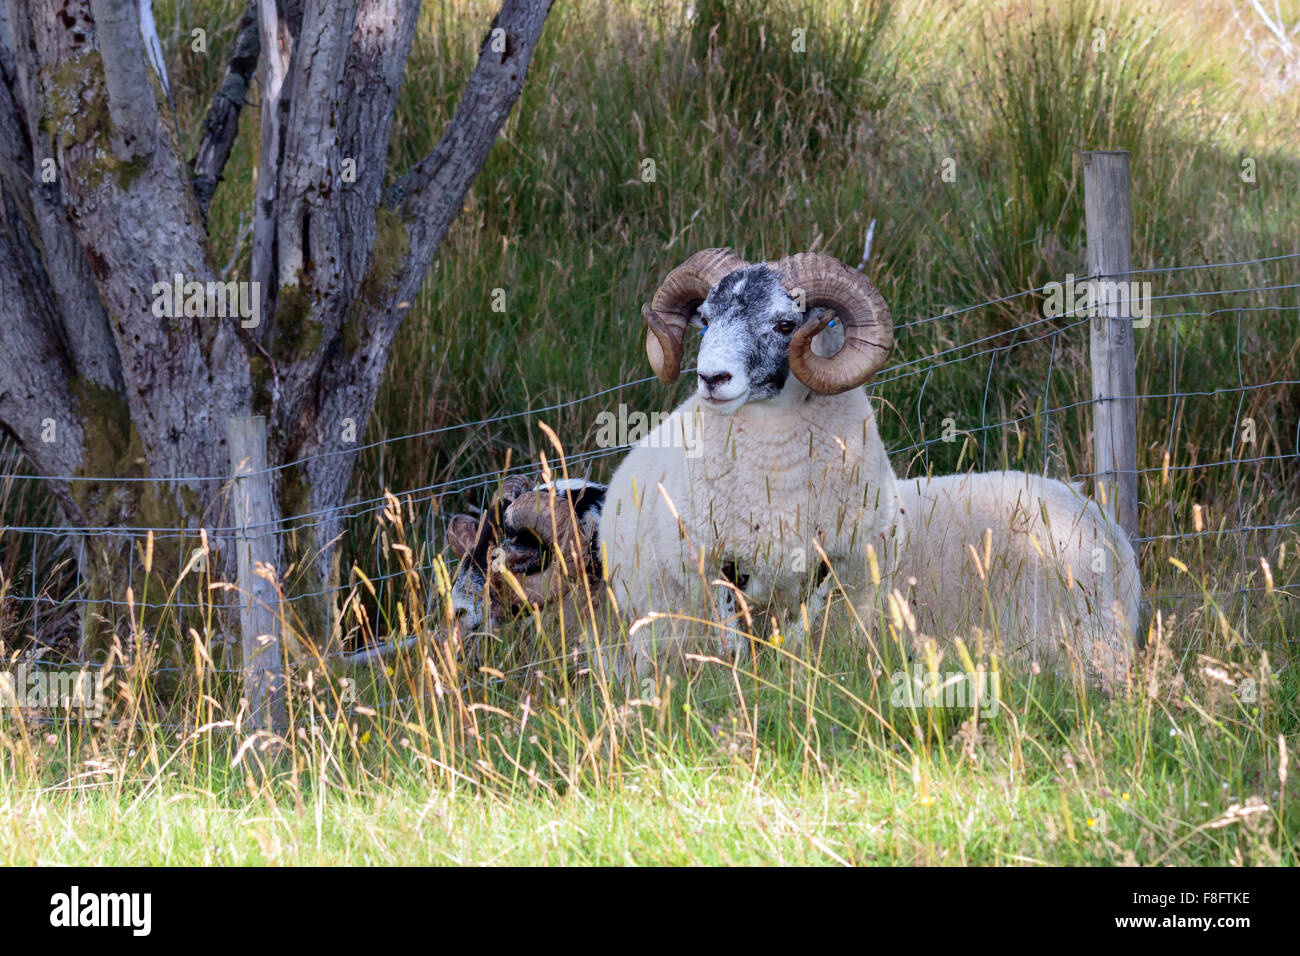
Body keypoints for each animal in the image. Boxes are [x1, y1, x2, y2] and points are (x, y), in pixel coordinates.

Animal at [598, 248, 1140, 689]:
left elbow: (803, 635)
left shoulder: (829, 564)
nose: (712, 378)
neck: (775, 482)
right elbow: (732, 644)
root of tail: (1099, 518)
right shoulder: (718, 564)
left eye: (785, 325)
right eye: (706, 320)